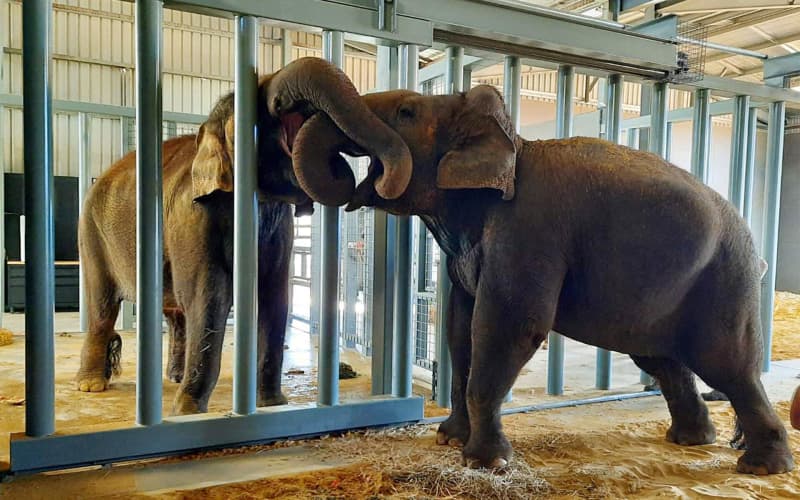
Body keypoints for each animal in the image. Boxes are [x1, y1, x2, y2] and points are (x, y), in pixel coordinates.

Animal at [75, 57, 411, 415]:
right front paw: (188, 411)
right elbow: (210, 296)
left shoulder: (279, 226)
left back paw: (174, 378)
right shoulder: (192, 217)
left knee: (175, 312)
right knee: (102, 306)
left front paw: (272, 404)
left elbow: (275, 296)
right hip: (91, 234)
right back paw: (92, 386)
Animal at [264, 61, 794, 475]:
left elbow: (509, 325)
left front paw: (486, 462)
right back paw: (693, 441)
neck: (510, 142)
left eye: (407, 113)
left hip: (725, 277)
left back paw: (760, 466)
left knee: (728, 364)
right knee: (662, 357)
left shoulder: (527, 230)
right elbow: (459, 325)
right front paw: (449, 439)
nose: (281, 107)